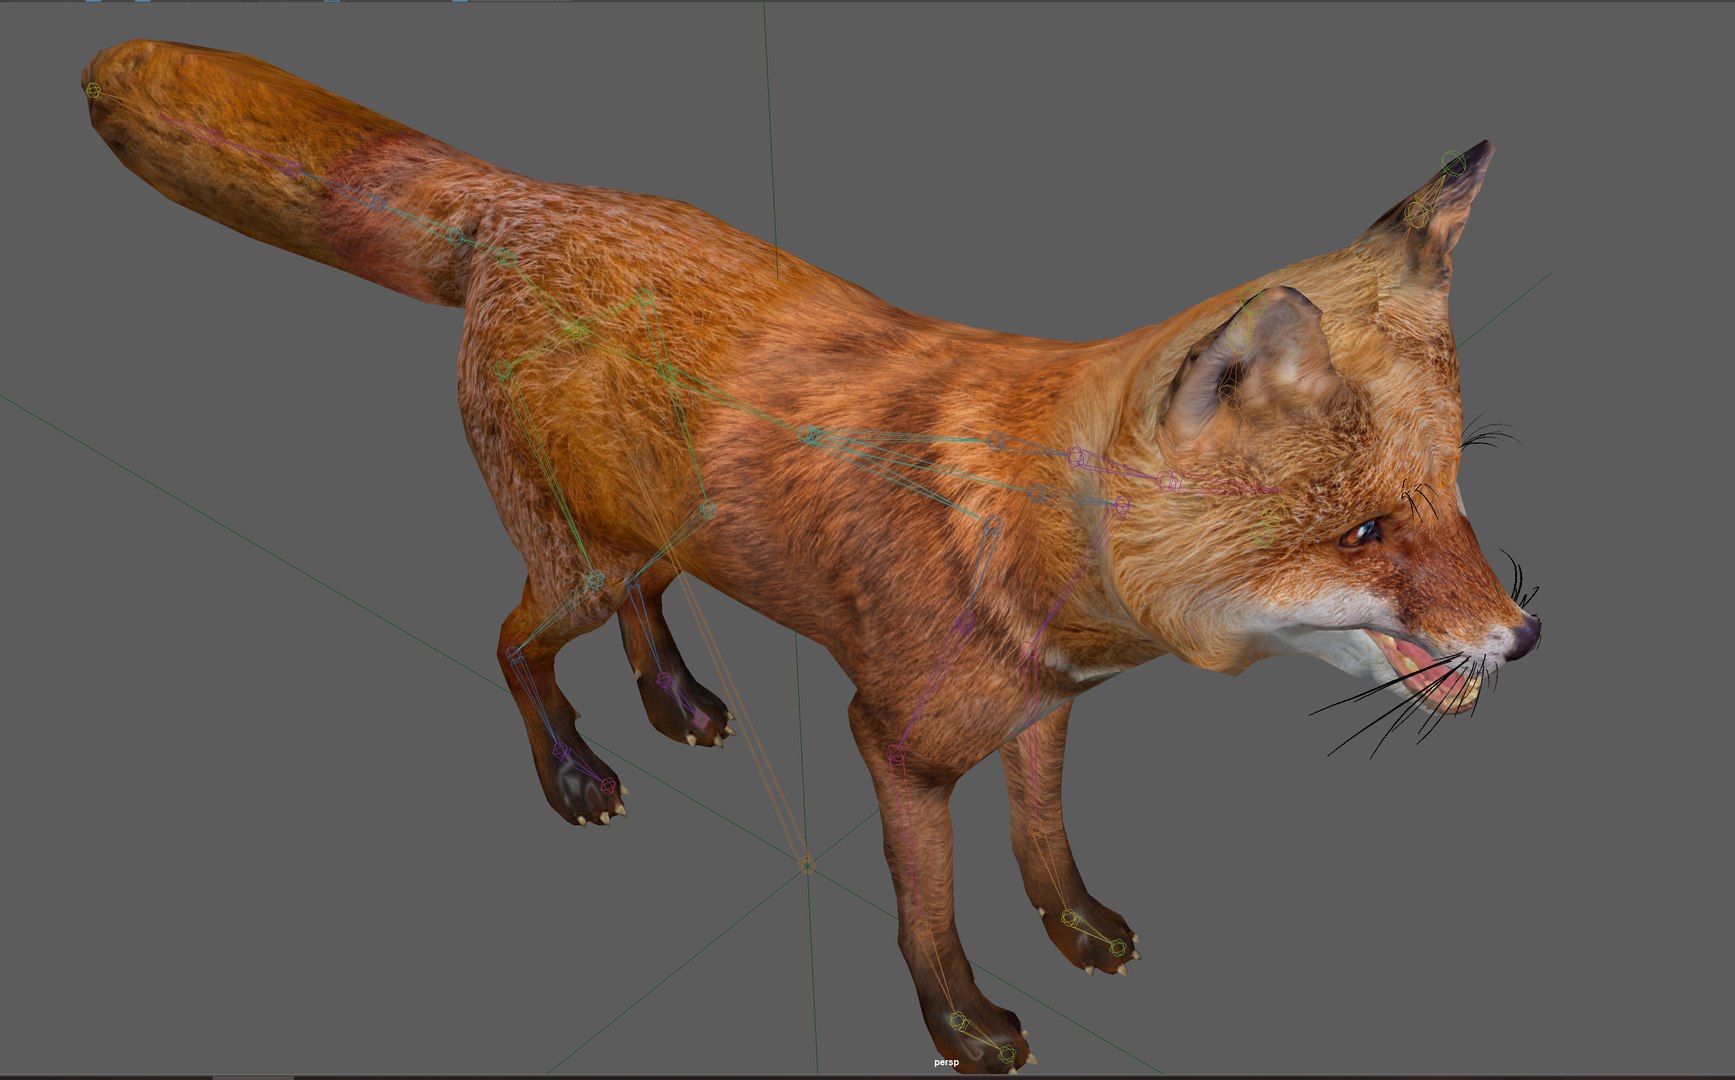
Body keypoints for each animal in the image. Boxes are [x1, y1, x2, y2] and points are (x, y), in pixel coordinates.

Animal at [82, 39, 1540, 1075]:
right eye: (1364, 532)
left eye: (1455, 499)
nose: (1524, 637)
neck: (1036, 550)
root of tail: (530, 200)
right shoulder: (892, 742)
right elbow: (928, 911)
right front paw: (962, 1029)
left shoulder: (1040, 713)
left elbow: (1042, 846)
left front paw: (1075, 930)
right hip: (572, 567)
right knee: (507, 646)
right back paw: (574, 774)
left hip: (644, 536)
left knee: (644, 606)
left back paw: (676, 701)